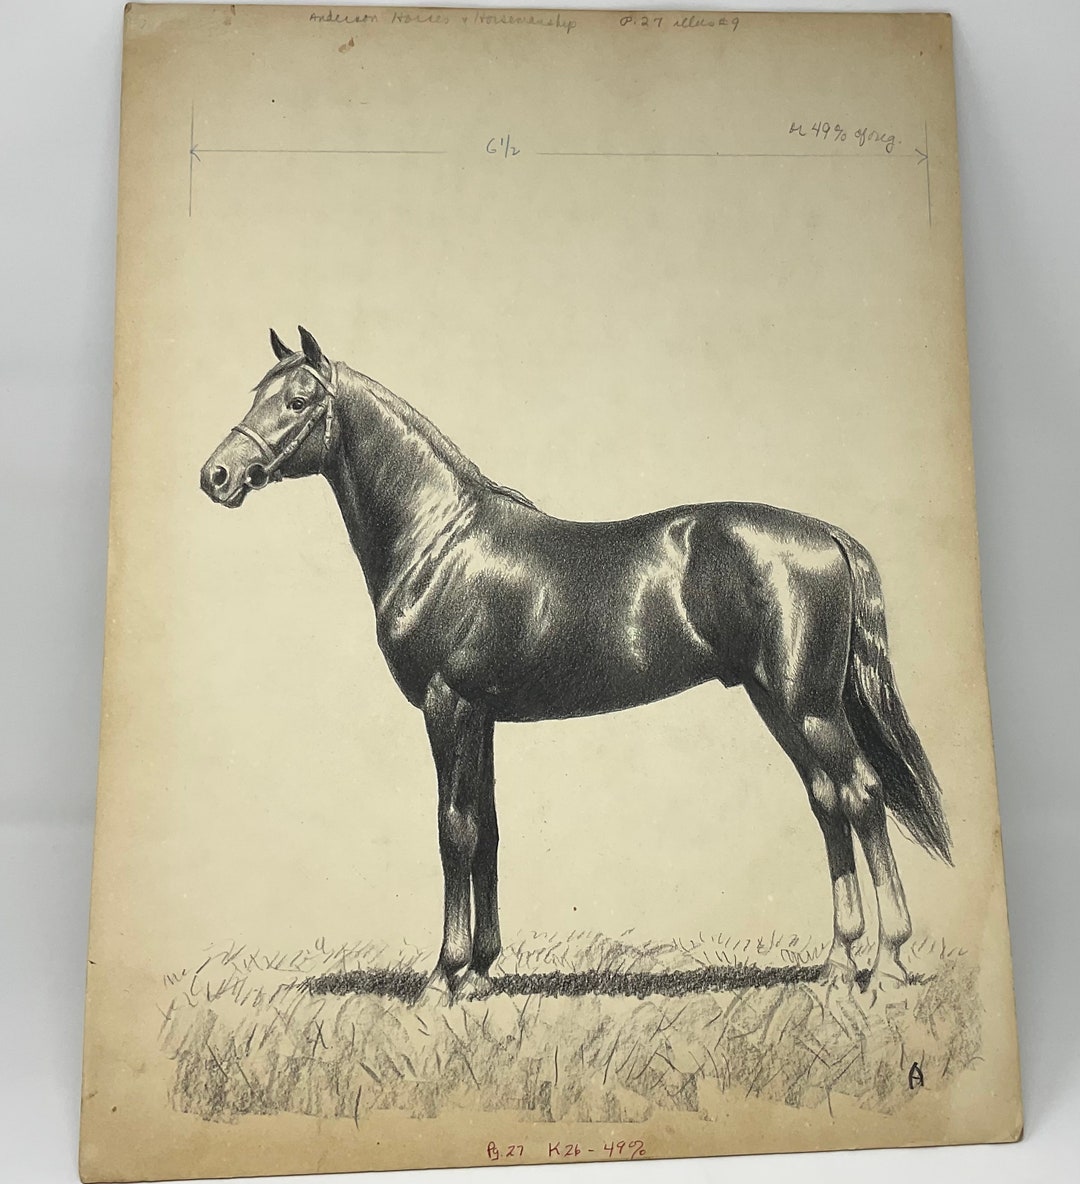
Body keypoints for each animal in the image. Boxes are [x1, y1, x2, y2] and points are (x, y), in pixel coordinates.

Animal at [200, 327, 951, 1003]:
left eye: (298, 399)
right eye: (256, 393)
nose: (217, 476)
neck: (440, 541)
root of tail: (827, 534)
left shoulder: (448, 705)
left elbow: (453, 830)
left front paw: (443, 978)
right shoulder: (482, 714)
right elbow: (486, 829)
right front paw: (480, 973)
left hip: (810, 705)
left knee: (862, 794)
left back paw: (886, 966)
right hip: (774, 700)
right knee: (827, 800)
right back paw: (836, 966)